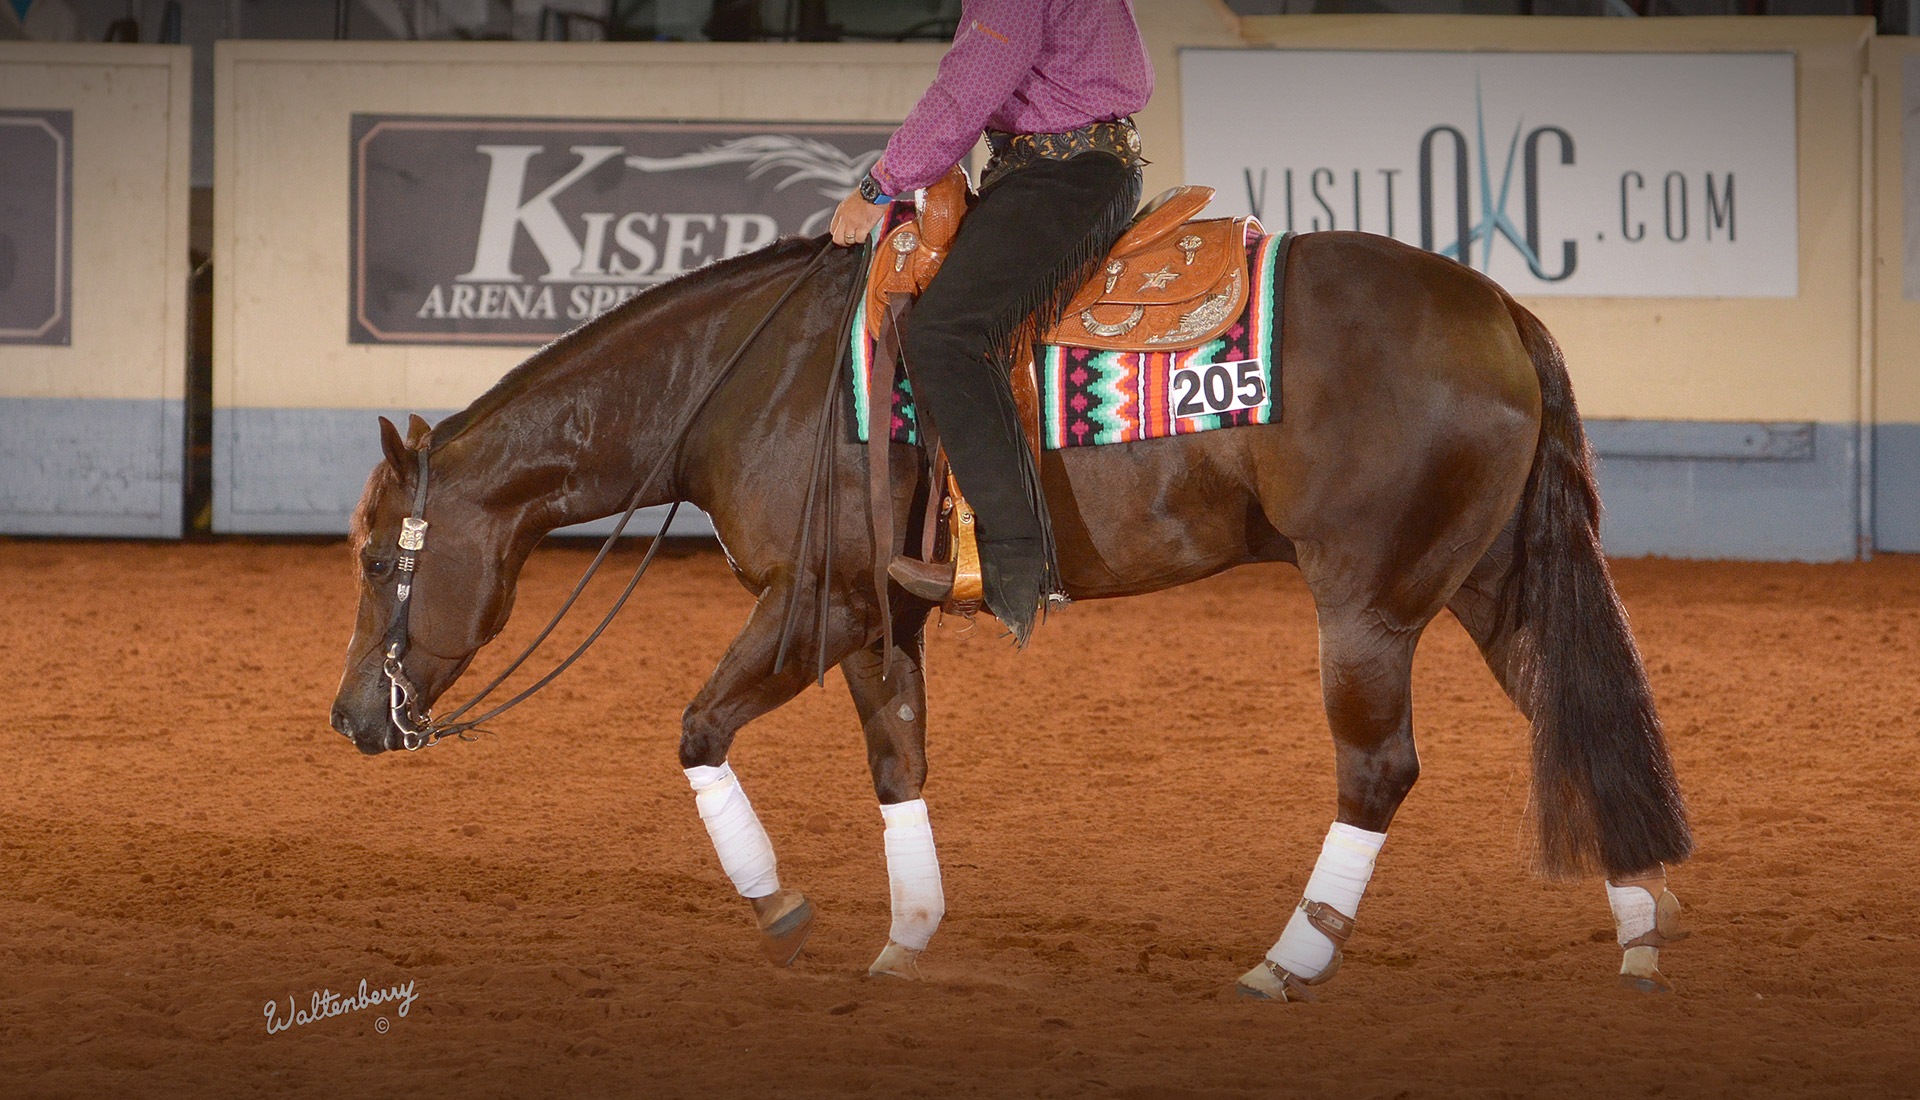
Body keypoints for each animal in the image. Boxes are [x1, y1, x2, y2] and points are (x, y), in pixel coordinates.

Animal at [330, 228, 1693, 999]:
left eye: (373, 558)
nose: (350, 717)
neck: (756, 379)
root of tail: (1499, 310)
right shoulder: (878, 616)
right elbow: (898, 758)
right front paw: (907, 936)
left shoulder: (813, 604)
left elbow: (698, 728)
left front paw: (779, 908)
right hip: (1488, 579)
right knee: (1569, 712)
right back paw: (1638, 929)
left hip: (1367, 600)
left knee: (1380, 768)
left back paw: (1288, 960)